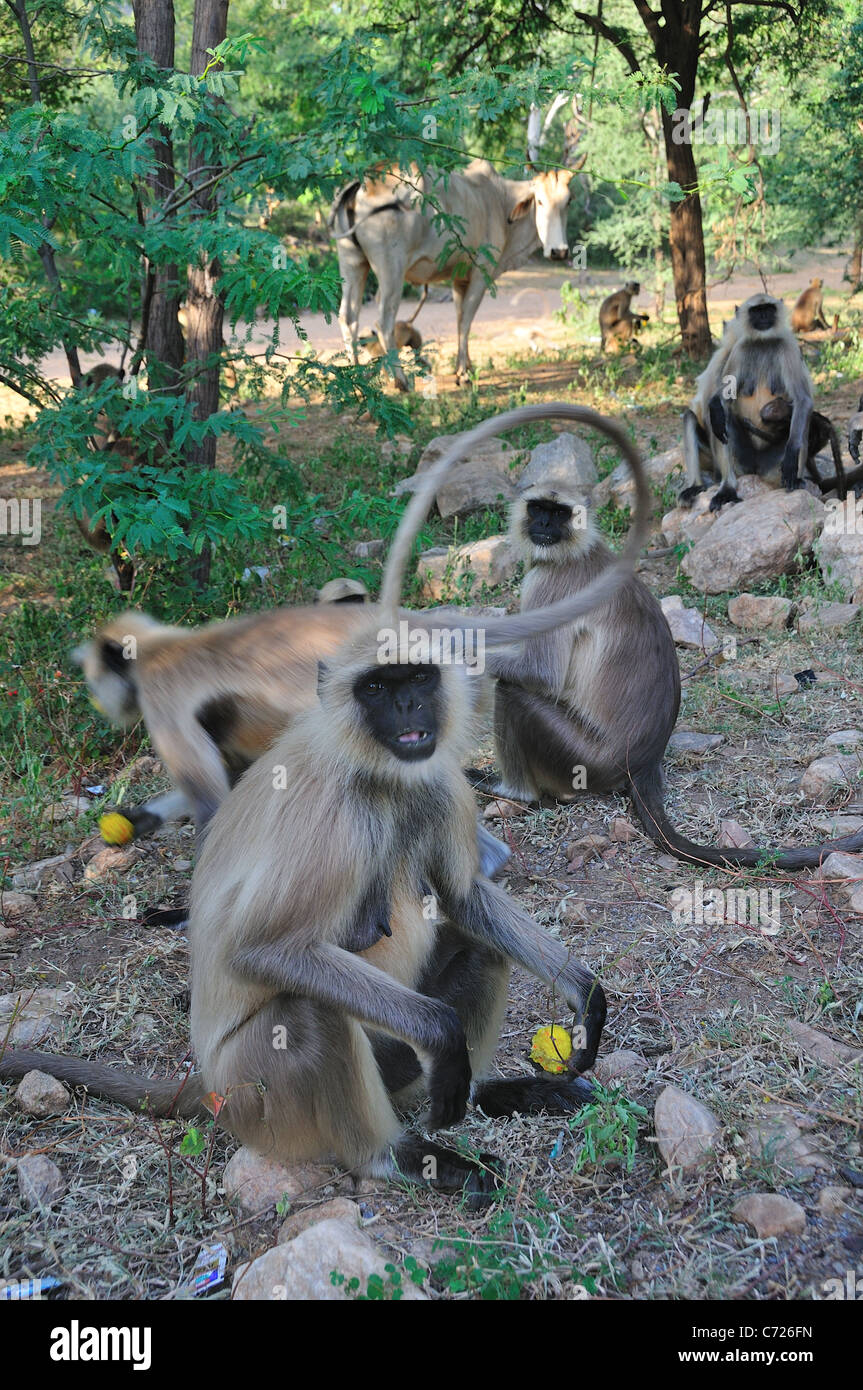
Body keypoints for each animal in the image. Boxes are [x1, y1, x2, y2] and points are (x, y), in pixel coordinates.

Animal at [0, 401, 653, 1205]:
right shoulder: (331, 809)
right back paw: (401, 1153)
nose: (408, 708)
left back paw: (473, 1102)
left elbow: (461, 897)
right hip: (257, 1099)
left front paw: (585, 997)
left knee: (465, 943)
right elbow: (265, 947)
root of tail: (206, 1090)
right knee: (306, 1006)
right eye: (377, 687)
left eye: (414, 679)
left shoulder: (423, 776)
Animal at [466, 463, 863, 872]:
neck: (576, 550)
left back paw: (513, 791)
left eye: (559, 513)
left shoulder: (548, 584)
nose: (544, 522)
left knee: (512, 692)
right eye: (538, 508)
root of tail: (643, 762)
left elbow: (541, 674)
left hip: (583, 758)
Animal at [681, 294, 814, 509]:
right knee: (712, 418)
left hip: (772, 468)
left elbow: (803, 399)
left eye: (768, 309)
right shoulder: (738, 351)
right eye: (756, 311)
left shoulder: (788, 348)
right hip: (741, 463)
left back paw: (795, 480)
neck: (762, 342)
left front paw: (792, 452)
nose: (764, 316)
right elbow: (717, 401)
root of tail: (756, 469)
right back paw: (723, 488)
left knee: (804, 418)